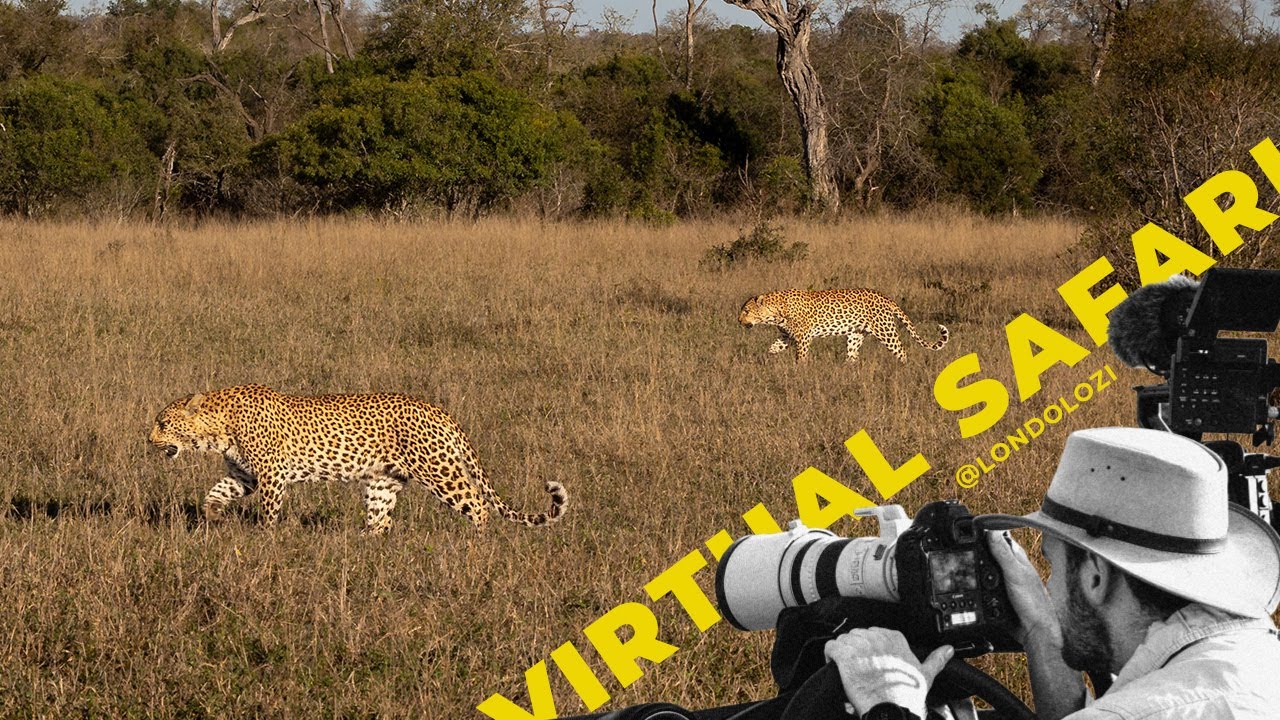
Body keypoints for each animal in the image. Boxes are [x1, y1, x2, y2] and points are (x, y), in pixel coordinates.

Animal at [147, 384, 567, 534]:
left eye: (162, 423)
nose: (147, 441)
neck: (218, 430)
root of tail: (440, 411)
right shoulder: (245, 476)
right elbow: (214, 493)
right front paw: (213, 516)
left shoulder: (271, 476)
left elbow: (268, 512)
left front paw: (265, 538)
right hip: (383, 482)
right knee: (381, 521)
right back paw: (365, 545)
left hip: (440, 472)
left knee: (478, 505)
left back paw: (476, 548)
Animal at [738, 288, 949, 364]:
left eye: (746, 311)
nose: (739, 321)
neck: (776, 311)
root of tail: (885, 296)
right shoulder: (787, 336)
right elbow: (774, 346)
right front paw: (768, 356)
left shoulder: (803, 337)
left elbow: (801, 356)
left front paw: (800, 370)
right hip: (855, 334)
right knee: (852, 356)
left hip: (886, 331)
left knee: (902, 351)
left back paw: (902, 369)